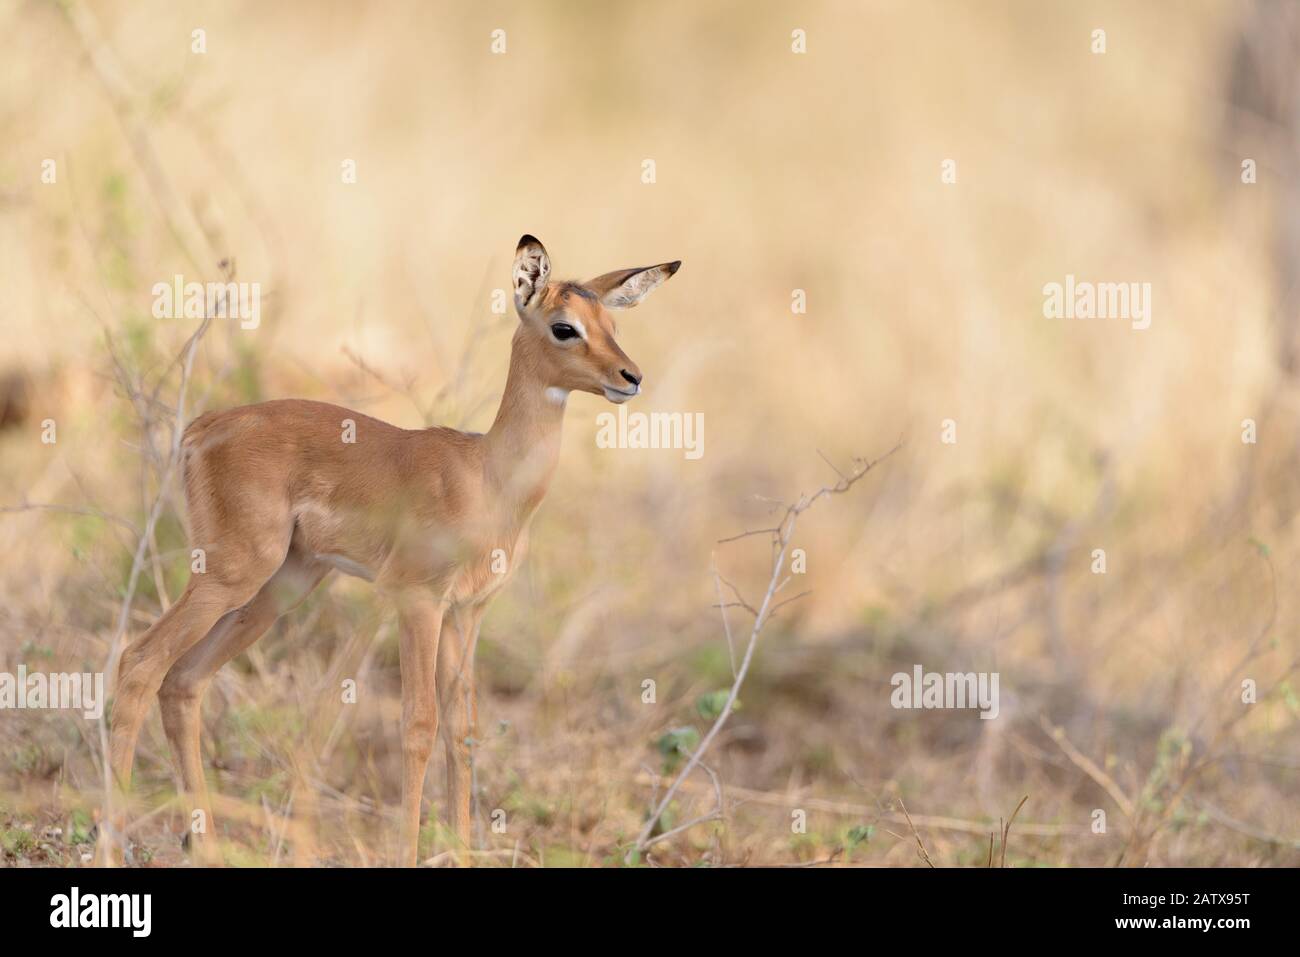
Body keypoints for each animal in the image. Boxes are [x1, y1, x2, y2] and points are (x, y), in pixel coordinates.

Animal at [105, 235, 681, 866]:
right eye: (564, 327)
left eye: (611, 322)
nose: (631, 377)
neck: (487, 476)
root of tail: (200, 429)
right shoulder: (417, 600)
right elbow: (418, 725)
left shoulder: (466, 611)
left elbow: (461, 730)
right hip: (232, 573)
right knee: (139, 663)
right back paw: (112, 841)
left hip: (280, 587)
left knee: (183, 681)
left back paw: (205, 845)